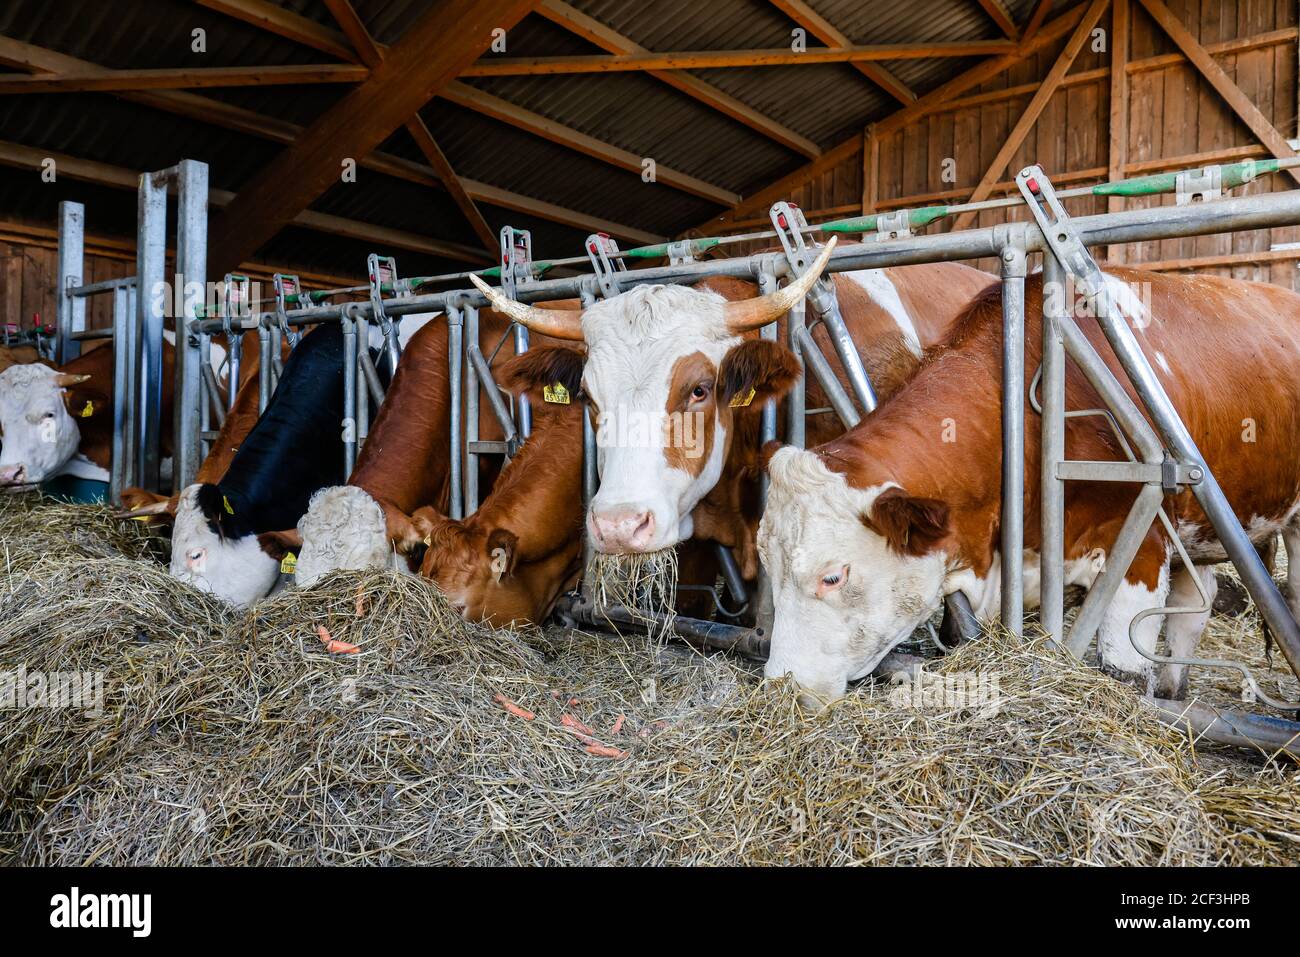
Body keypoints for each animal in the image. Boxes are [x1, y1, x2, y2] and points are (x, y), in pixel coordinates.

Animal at [757, 268, 1300, 708]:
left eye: (832, 576)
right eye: (766, 563)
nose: (784, 686)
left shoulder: (1141, 548)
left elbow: (1122, 671)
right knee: (1194, 606)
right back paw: (1174, 691)